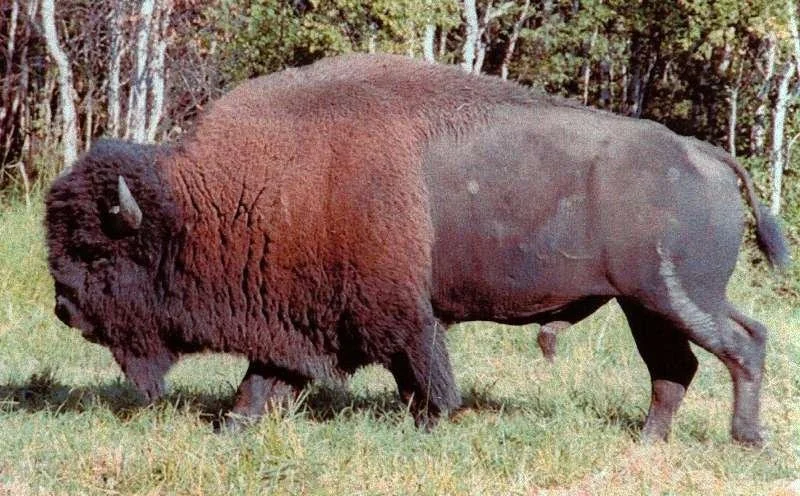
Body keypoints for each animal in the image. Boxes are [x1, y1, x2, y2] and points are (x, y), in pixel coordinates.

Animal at [45, 54, 789, 444]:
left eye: (95, 249)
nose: (63, 309)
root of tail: (703, 154)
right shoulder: (302, 322)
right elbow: (266, 379)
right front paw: (233, 426)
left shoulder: (397, 316)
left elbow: (424, 374)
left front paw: (431, 423)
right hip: (650, 305)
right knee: (687, 362)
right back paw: (648, 440)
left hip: (672, 295)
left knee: (739, 346)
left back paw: (744, 440)